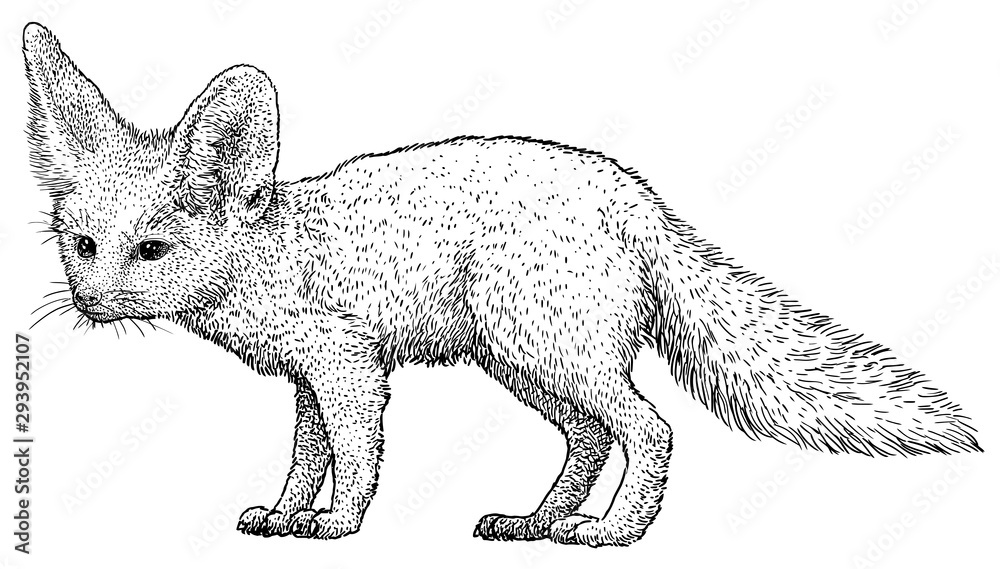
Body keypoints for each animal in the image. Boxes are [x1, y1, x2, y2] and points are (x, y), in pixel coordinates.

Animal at [22, 22, 981, 547]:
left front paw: (338, 524)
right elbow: (306, 455)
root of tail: (637, 197)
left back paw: (612, 533)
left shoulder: (349, 367)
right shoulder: (308, 378)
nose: (91, 302)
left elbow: (357, 457)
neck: (274, 247)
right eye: (83, 245)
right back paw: (537, 522)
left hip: (548, 352)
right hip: (524, 363)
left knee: (652, 428)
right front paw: (286, 514)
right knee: (594, 436)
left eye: (150, 249)